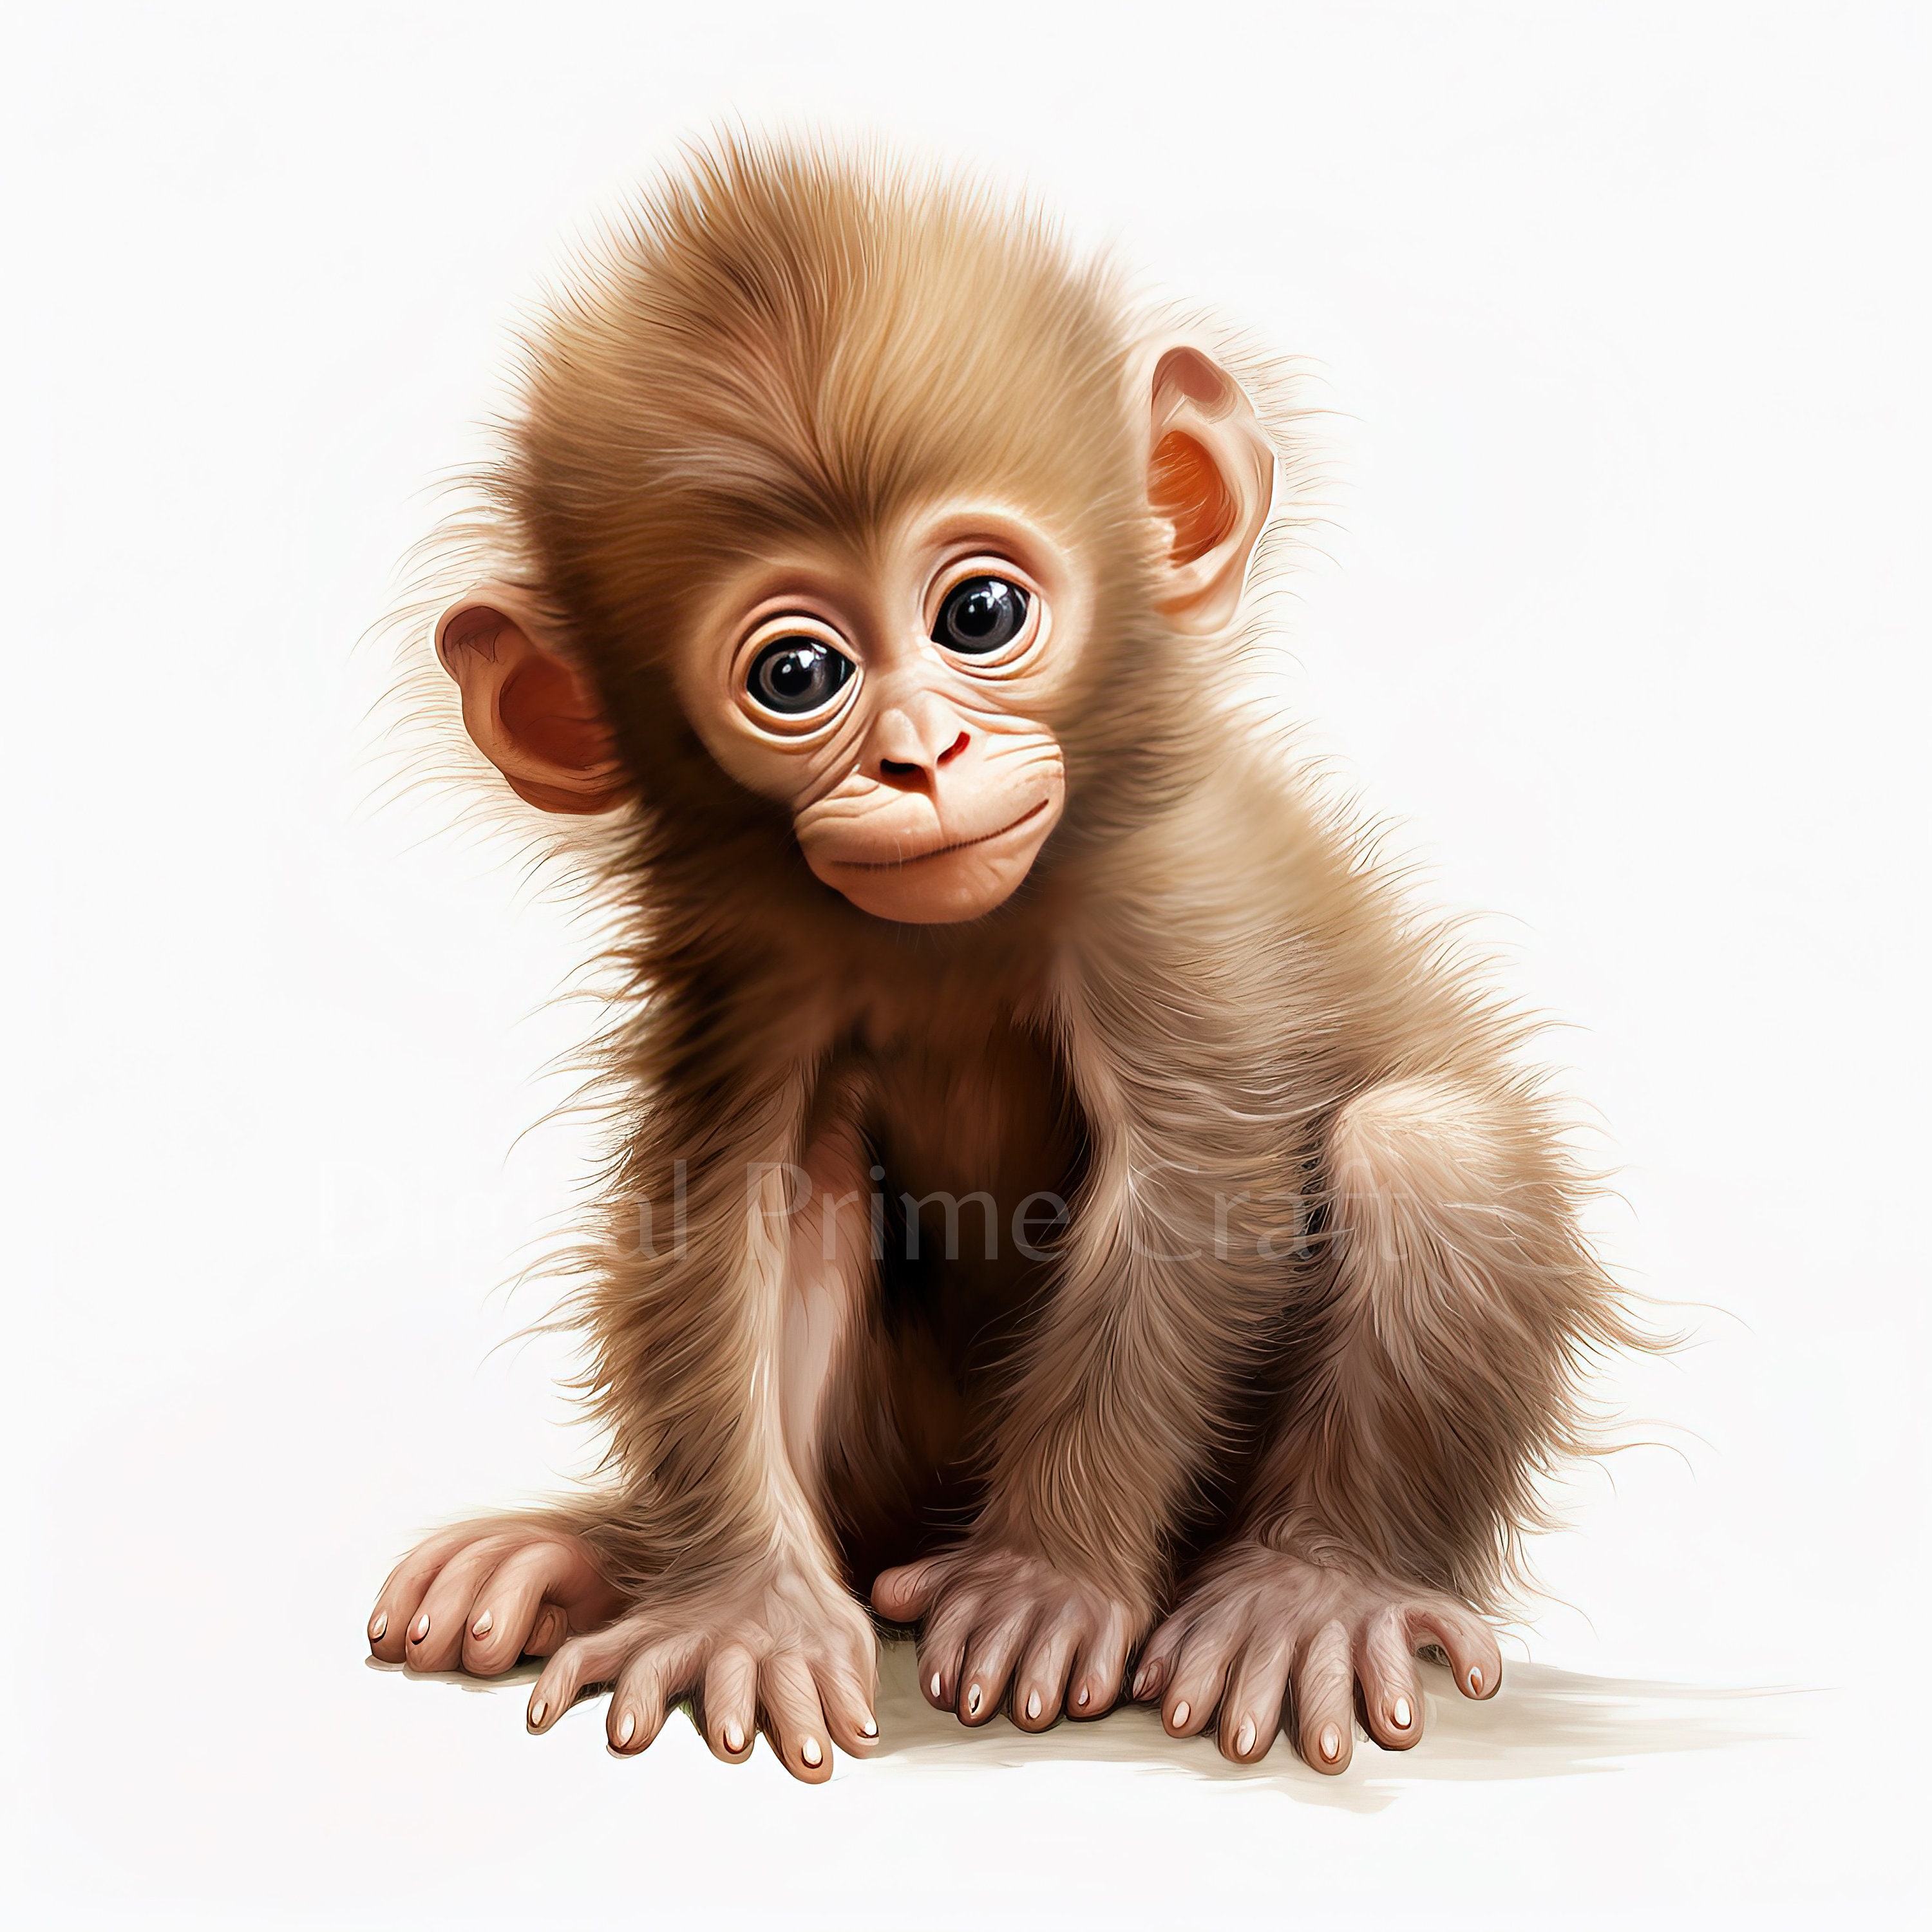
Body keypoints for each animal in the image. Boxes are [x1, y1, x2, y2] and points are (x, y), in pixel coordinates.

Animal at [365, 134, 1646, 1784]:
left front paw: (1046, 1584)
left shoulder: (1177, 896)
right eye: (798, 673)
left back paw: (1317, 1589)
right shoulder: (748, 966)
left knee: (1428, 1148)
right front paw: (734, 1610)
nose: (922, 756)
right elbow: (726, 1201)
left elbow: (1199, 1187)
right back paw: (584, 1550)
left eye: (980, 613)